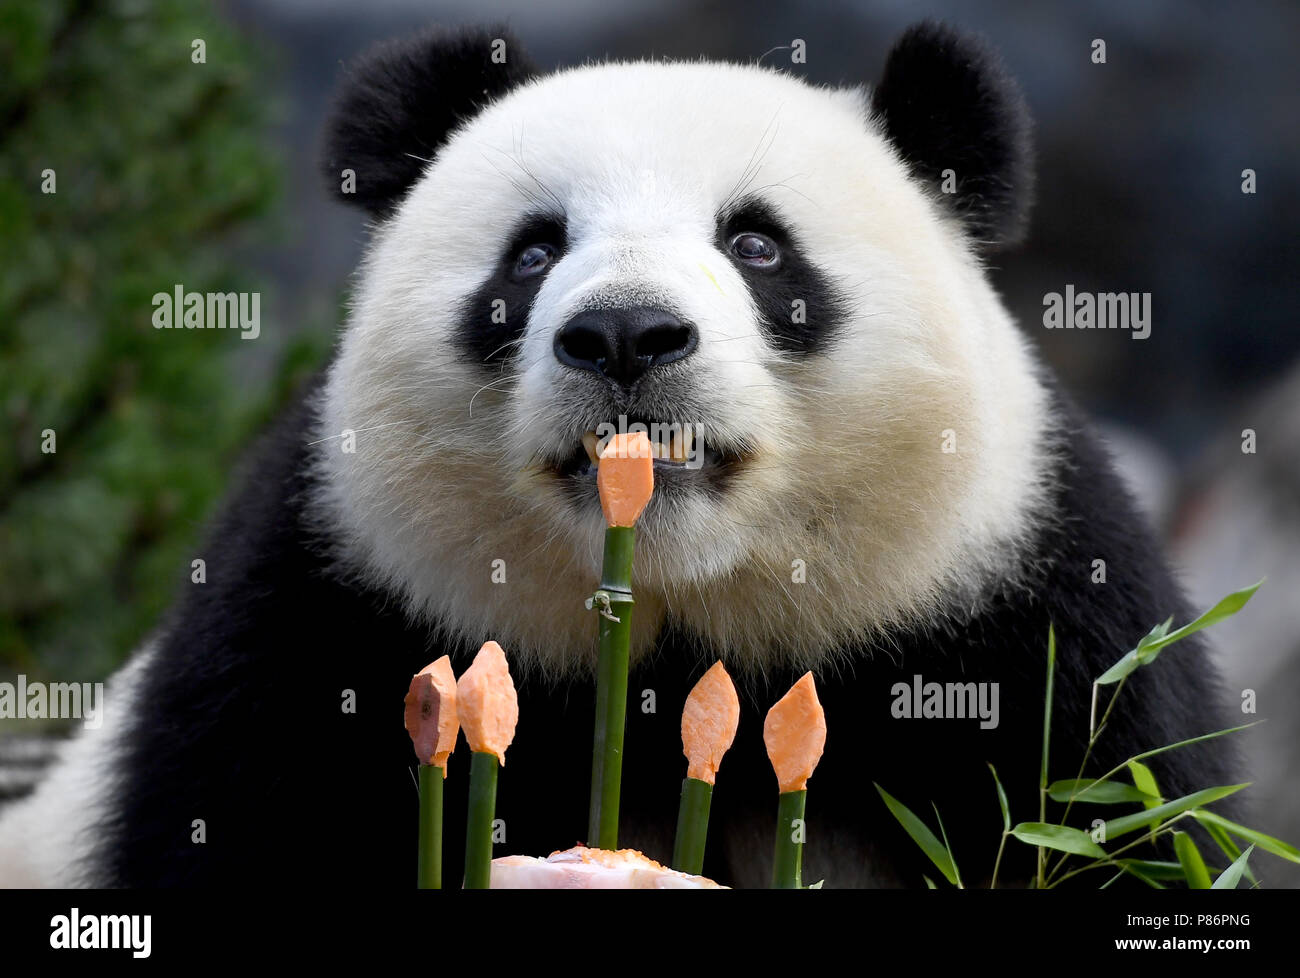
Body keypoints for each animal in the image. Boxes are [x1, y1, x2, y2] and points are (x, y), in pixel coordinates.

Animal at [0, 21, 1239, 889]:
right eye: (531, 252)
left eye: (757, 245)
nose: (628, 335)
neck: (678, 629)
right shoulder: (321, 614)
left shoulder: (1018, 621)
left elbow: (1122, 815)